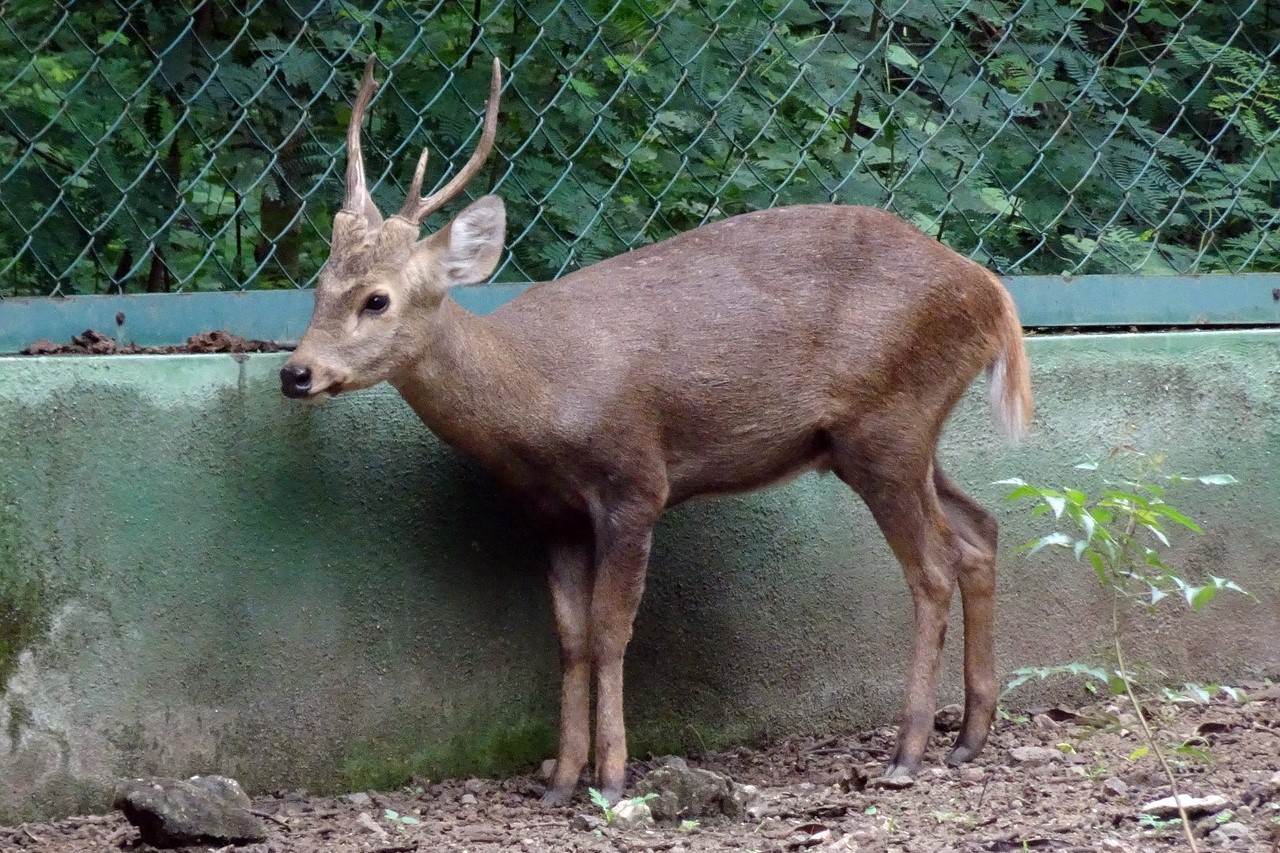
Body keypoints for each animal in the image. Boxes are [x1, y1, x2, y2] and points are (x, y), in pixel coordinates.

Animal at [279, 56, 1033, 806]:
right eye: (318, 287)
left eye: (378, 299)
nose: (296, 372)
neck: (537, 397)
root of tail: (993, 293)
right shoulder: (551, 511)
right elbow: (570, 635)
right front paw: (562, 779)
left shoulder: (636, 481)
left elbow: (612, 630)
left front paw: (611, 777)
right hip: (903, 435)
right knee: (979, 532)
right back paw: (969, 737)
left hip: (889, 425)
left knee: (932, 568)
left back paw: (906, 753)